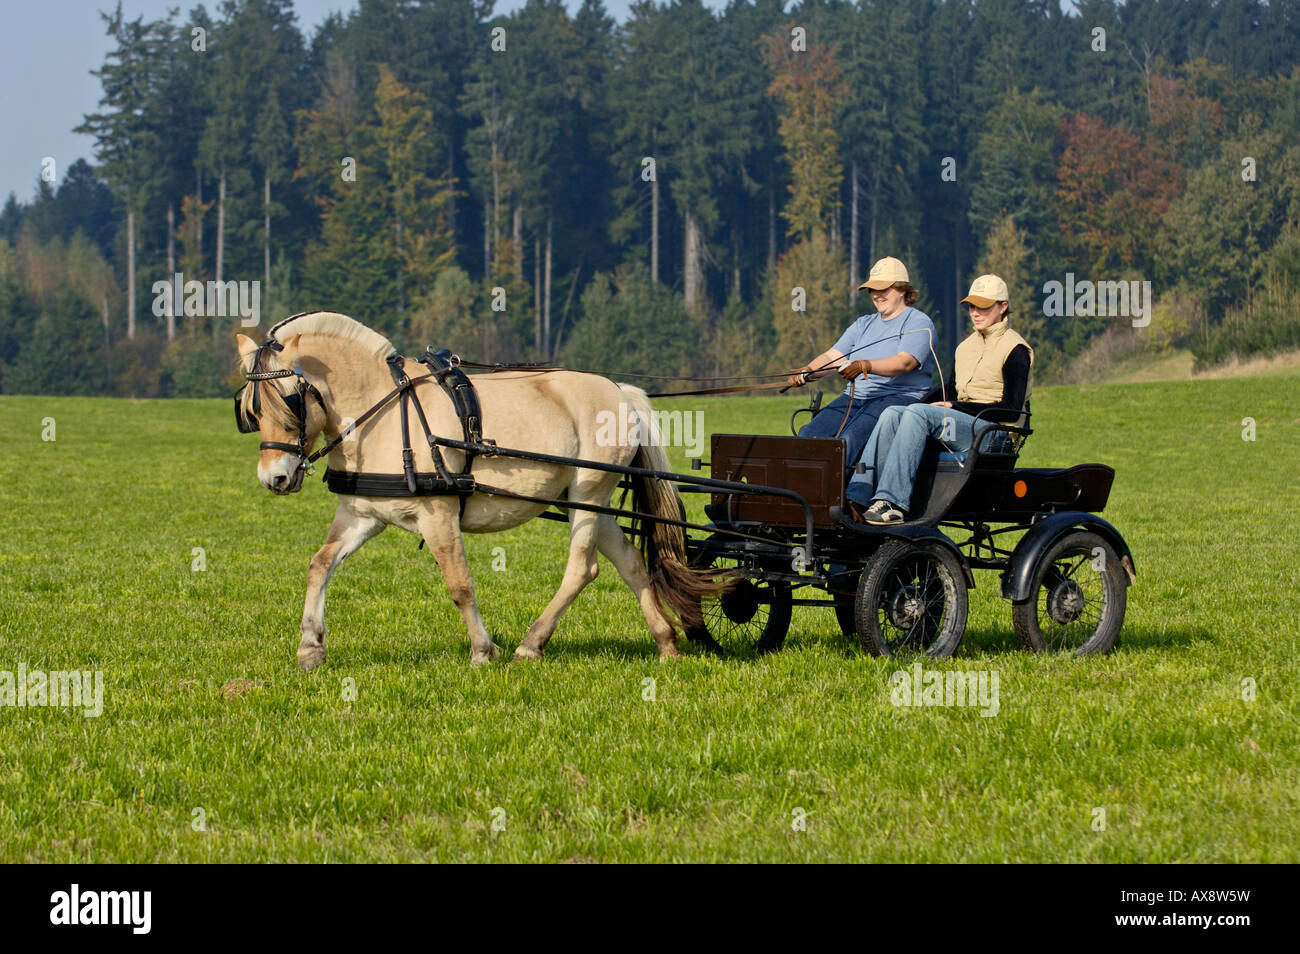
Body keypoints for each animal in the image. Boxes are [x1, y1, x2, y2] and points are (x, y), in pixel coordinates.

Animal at [234, 311, 724, 667]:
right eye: (250, 411)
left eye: (290, 401)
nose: (273, 478)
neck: (384, 412)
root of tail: (621, 392)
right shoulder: (363, 515)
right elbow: (319, 566)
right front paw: (310, 647)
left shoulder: (438, 515)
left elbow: (460, 585)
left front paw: (483, 651)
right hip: (584, 500)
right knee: (631, 565)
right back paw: (666, 643)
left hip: (588, 494)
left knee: (582, 569)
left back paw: (531, 643)